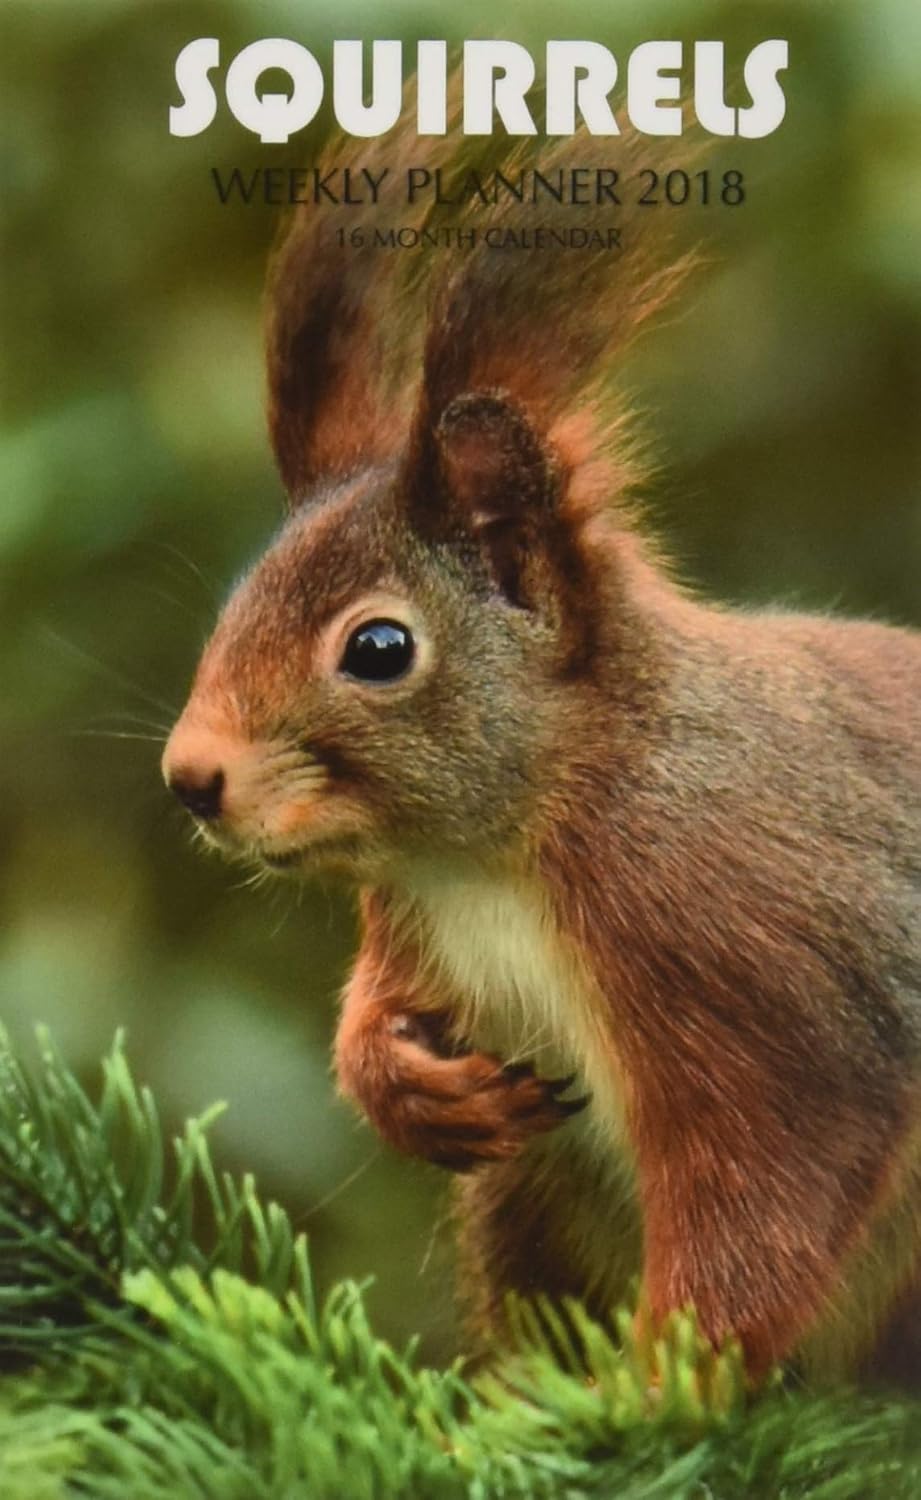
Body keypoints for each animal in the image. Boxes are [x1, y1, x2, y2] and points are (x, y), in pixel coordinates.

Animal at [162, 118, 921, 1389]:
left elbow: (764, 1202)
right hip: (529, 1198)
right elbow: (375, 1013)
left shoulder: (746, 961)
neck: (495, 857)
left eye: (378, 648)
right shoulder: (410, 919)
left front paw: (657, 1391)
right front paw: (402, 1084)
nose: (192, 778)